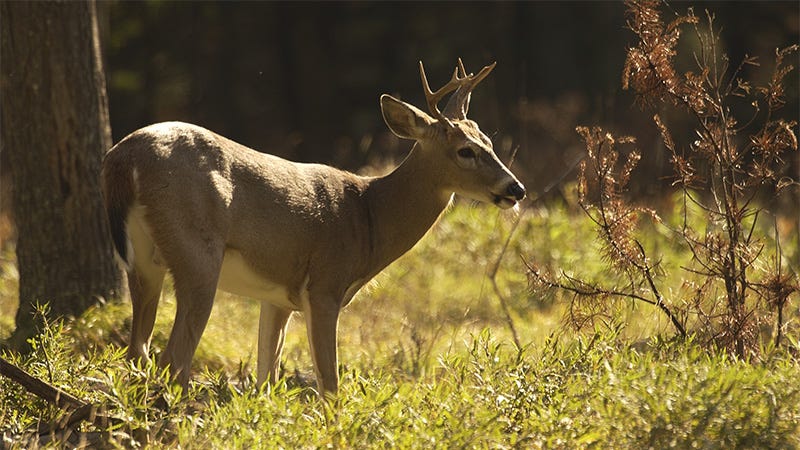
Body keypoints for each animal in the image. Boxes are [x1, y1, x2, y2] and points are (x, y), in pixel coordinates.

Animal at [101, 59, 526, 396]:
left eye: (489, 141)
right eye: (465, 151)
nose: (515, 189)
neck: (367, 217)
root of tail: (123, 158)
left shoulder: (277, 297)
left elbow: (266, 378)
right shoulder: (324, 286)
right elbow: (330, 383)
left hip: (144, 263)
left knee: (138, 351)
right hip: (197, 254)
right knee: (173, 359)